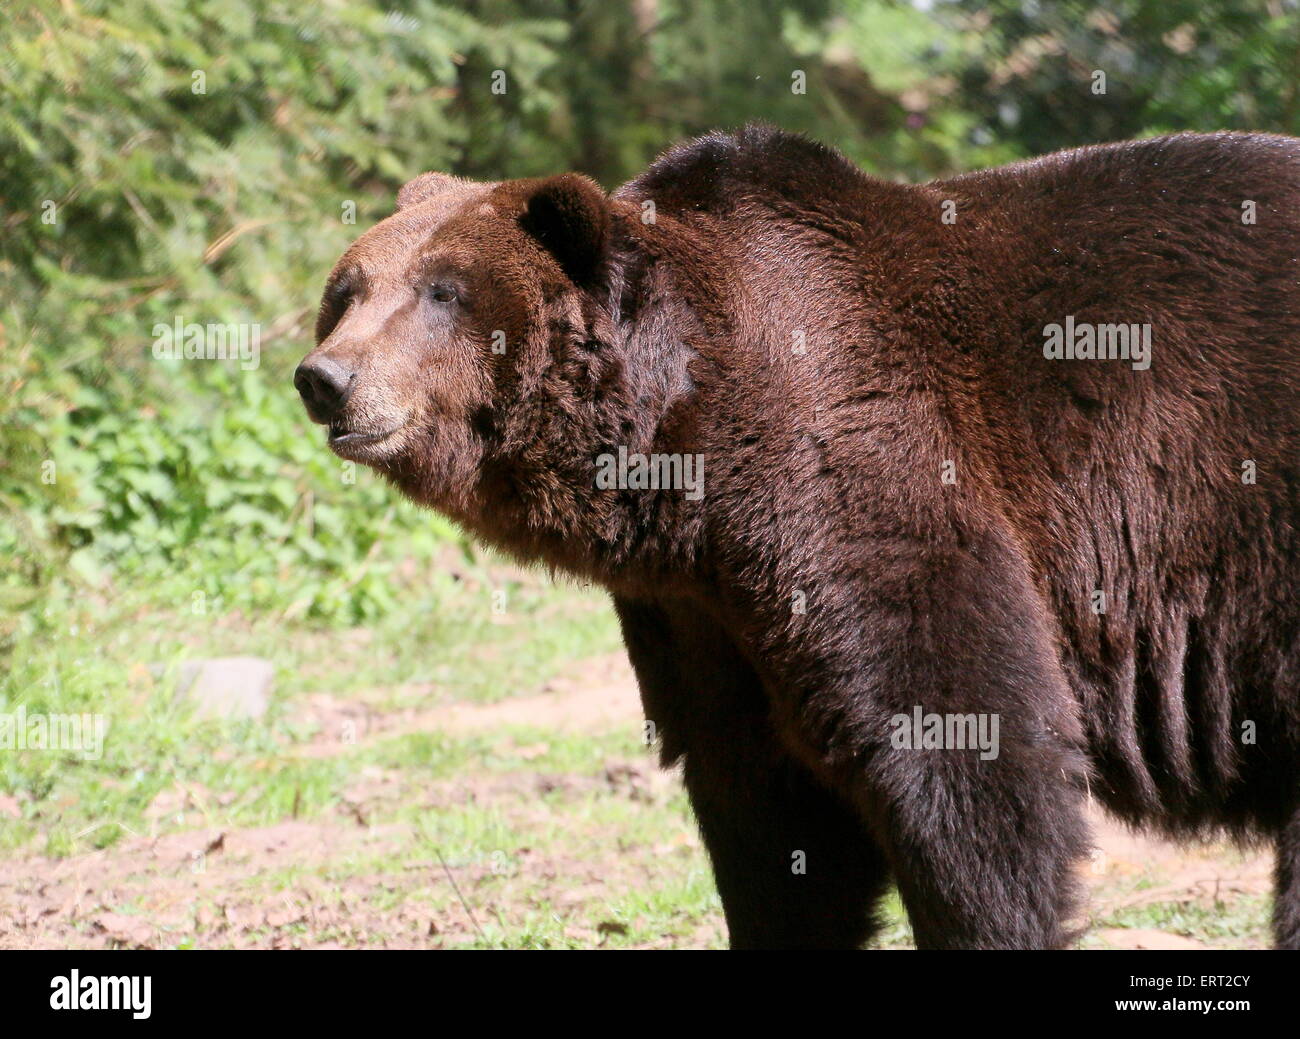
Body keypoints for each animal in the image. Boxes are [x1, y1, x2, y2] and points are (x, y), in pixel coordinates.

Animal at [295, 124, 1300, 949]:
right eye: (348, 289)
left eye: (442, 291)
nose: (325, 378)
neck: (686, 442)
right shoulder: (700, 612)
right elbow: (761, 802)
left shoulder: (864, 468)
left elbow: (961, 736)